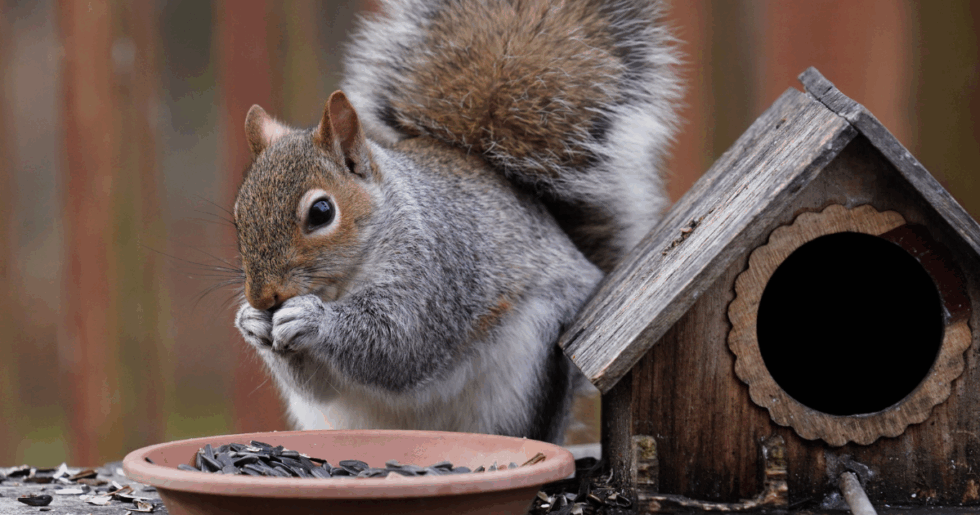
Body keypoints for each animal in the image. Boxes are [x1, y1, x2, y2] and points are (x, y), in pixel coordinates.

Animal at [233, 0, 680, 444]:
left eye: (322, 212)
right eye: (238, 217)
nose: (263, 298)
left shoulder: (437, 273)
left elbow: (400, 344)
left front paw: (312, 318)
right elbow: (318, 385)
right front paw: (250, 322)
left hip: (528, 374)